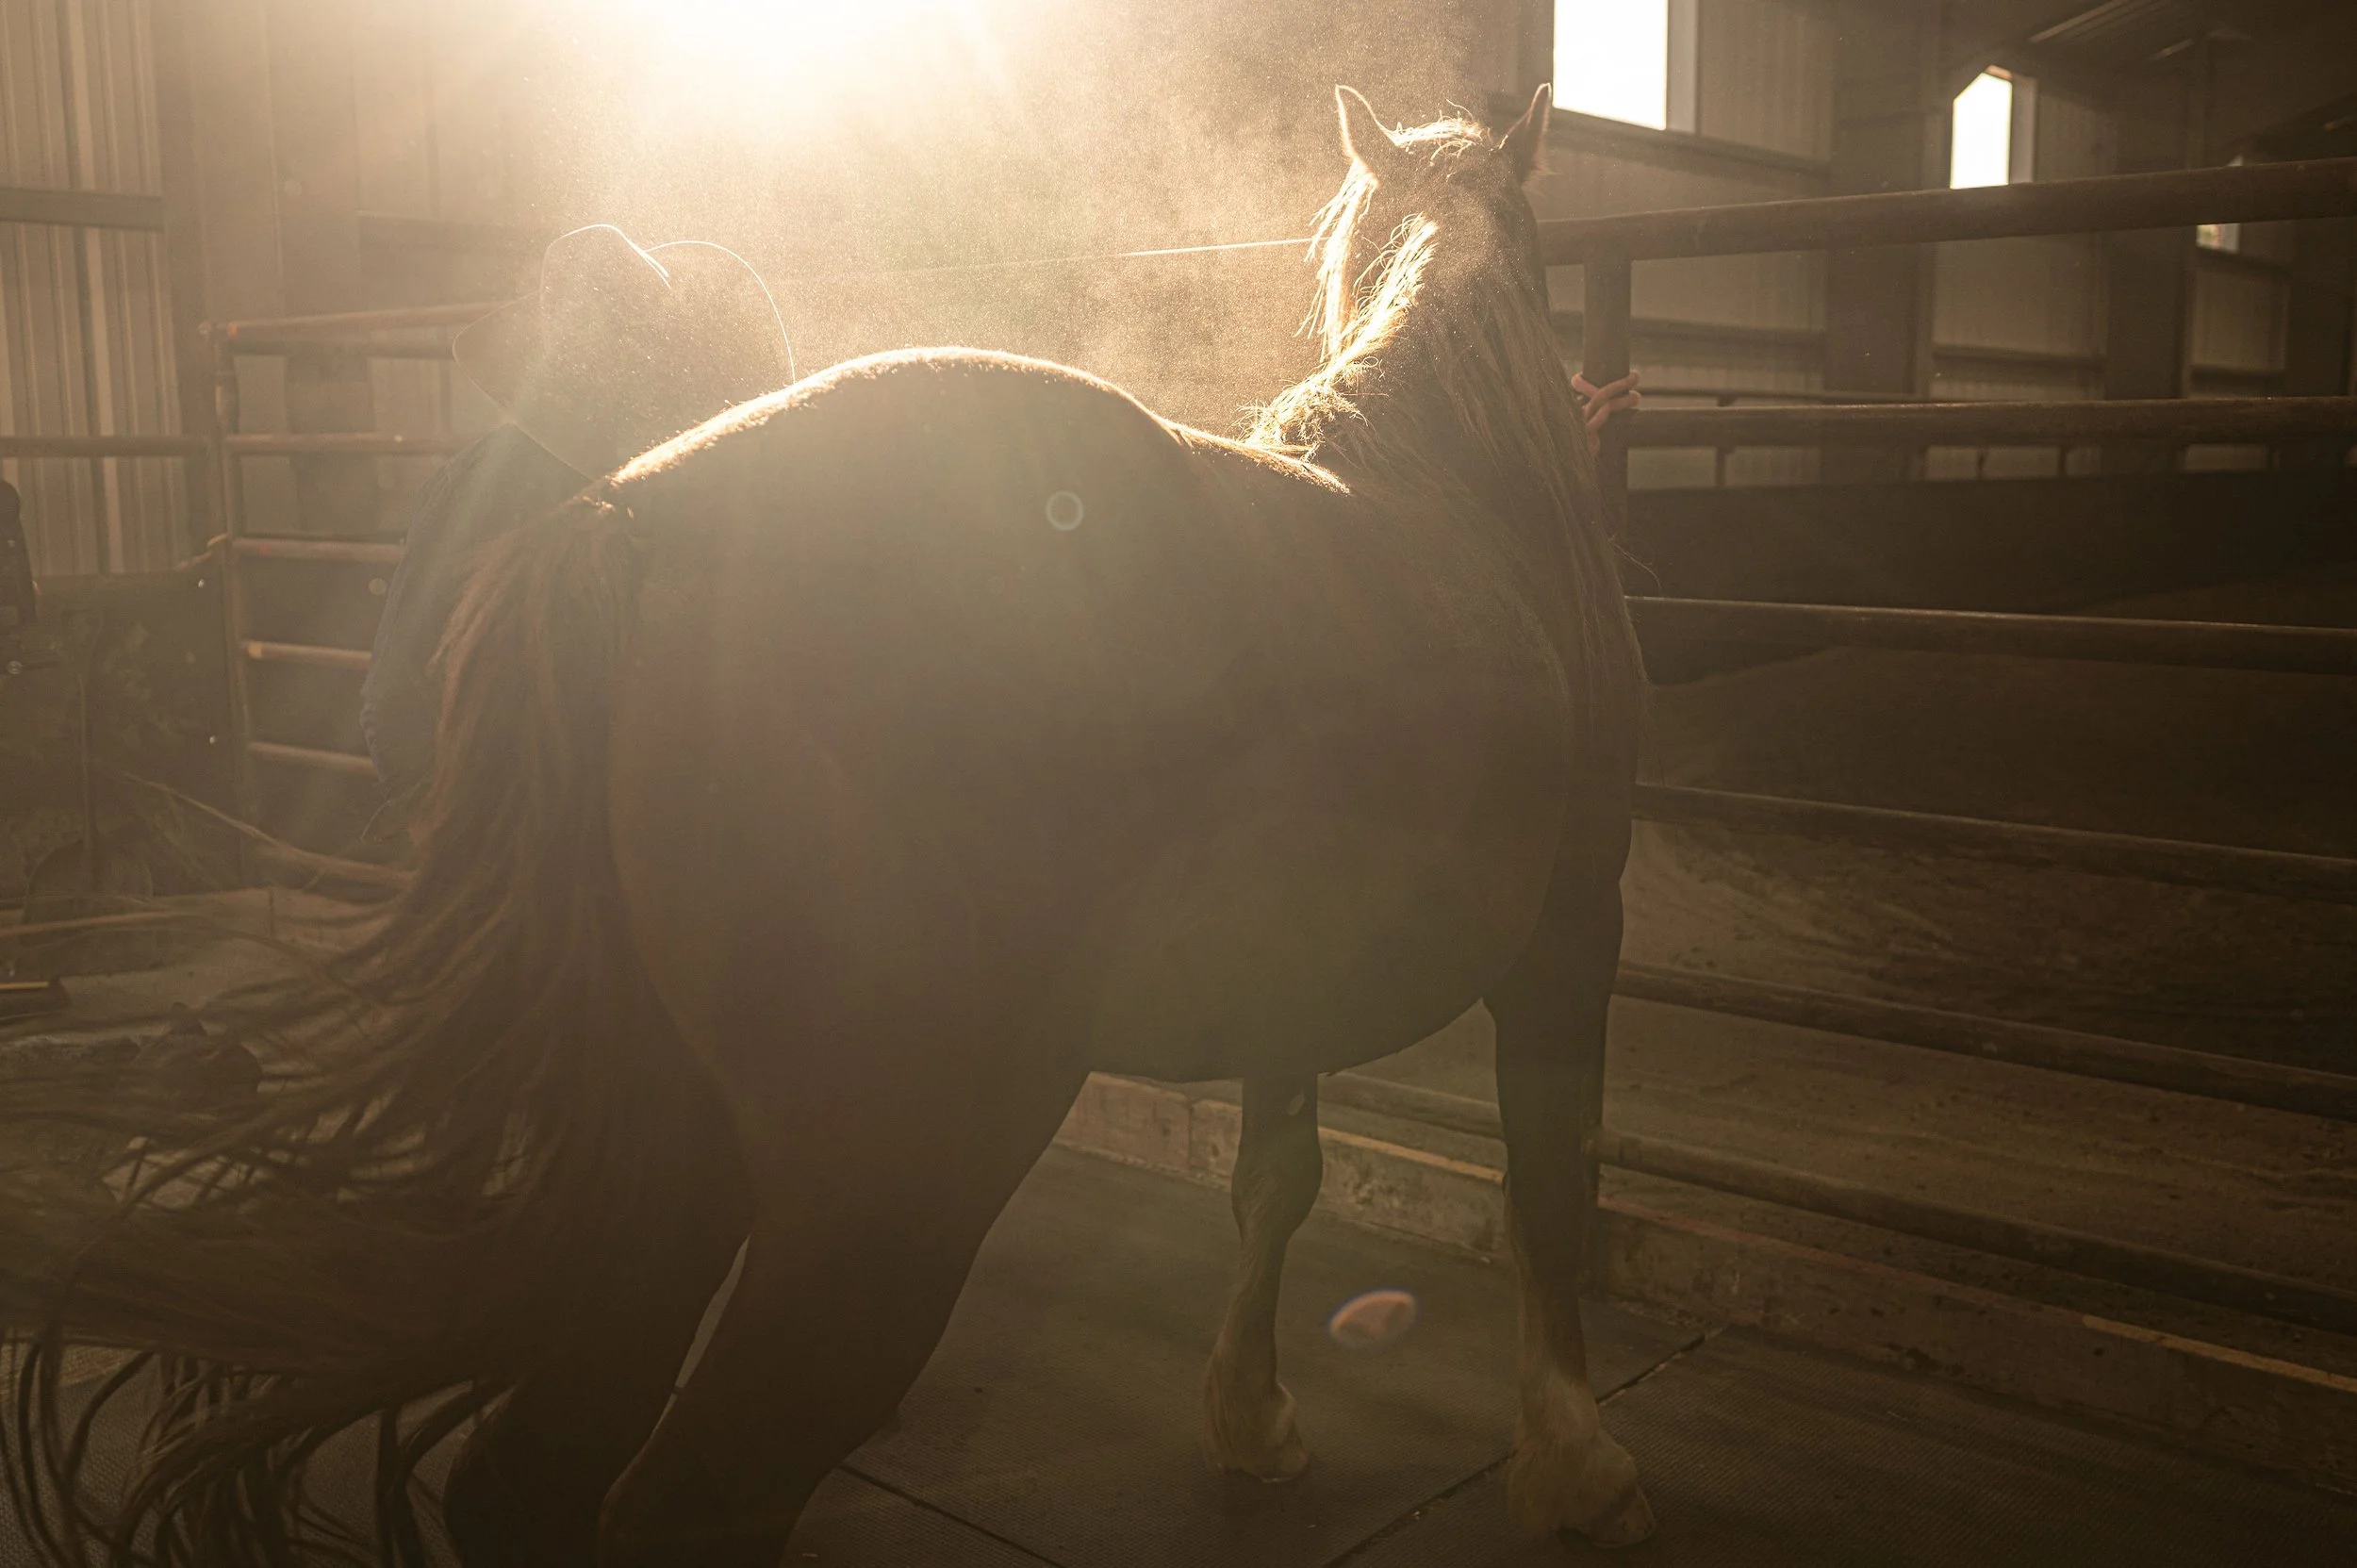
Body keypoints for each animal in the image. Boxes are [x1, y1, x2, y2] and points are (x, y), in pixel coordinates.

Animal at [0, 84, 1649, 1566]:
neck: (1470, 485)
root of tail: (634, 522)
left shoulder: (1296, 988)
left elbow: (1278, 1180)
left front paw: (1253, 1420)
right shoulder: (1574, 933)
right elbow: (1547, 1187)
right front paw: (1575, 1464)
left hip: (666, 1157)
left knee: (525, 1483)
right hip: (888, 1186)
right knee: (685, 1496)